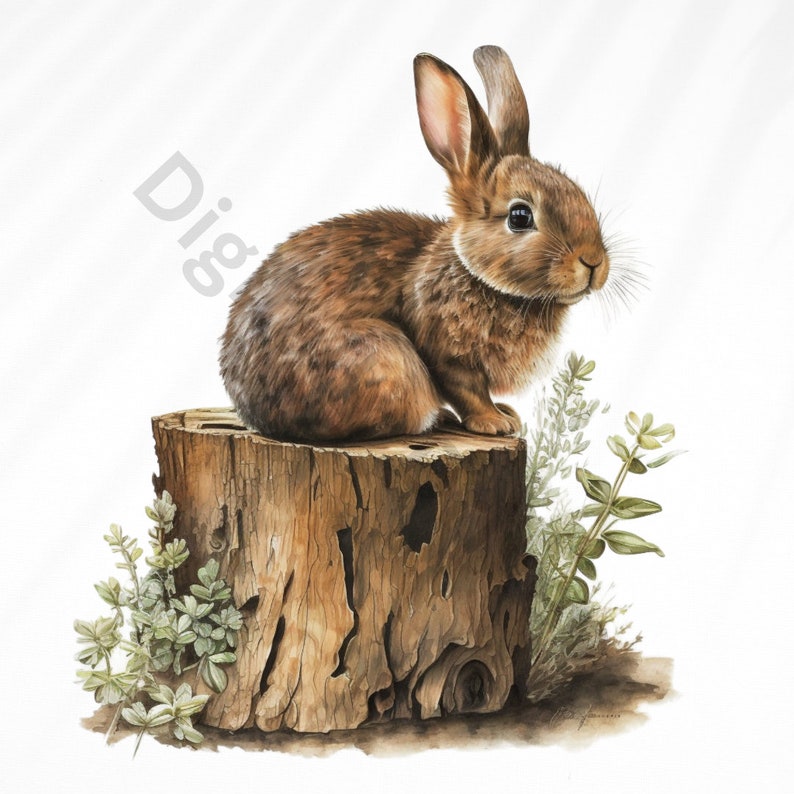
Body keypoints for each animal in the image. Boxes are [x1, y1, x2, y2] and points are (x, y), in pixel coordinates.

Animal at [220, 45, 610, 442]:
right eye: (519, 217)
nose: (594, 262)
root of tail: (259, 417)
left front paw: (507, 414)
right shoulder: (449, 356)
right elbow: (469, 392)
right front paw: (495, 422)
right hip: (386, 357)